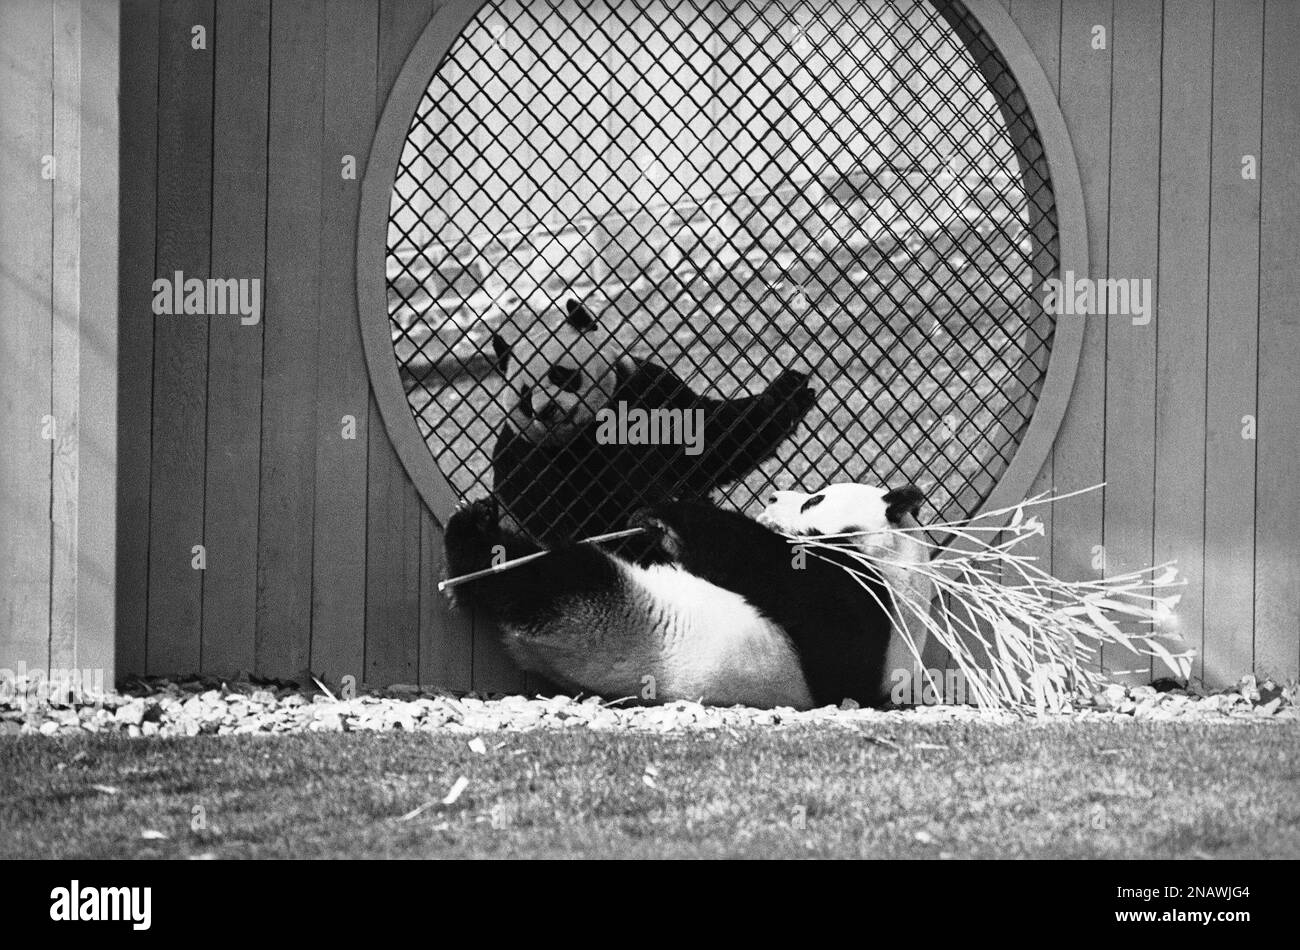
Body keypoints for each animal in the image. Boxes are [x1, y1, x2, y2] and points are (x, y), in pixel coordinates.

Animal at [442, 482, 929, 709]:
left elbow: (783, 574)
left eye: (815, 499)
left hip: (611, 616)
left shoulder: (862, 600)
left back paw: (474, 543)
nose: (773, 495)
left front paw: (671, 515)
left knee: (554, 579)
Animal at [489, 297, 816, 547]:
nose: (546, 410)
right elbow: (554, 512)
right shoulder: (527, 455)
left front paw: (786, 394)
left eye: (561, 374)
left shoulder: (645, 391)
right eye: (525, 396)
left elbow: (706, 442)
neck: (587, 431)